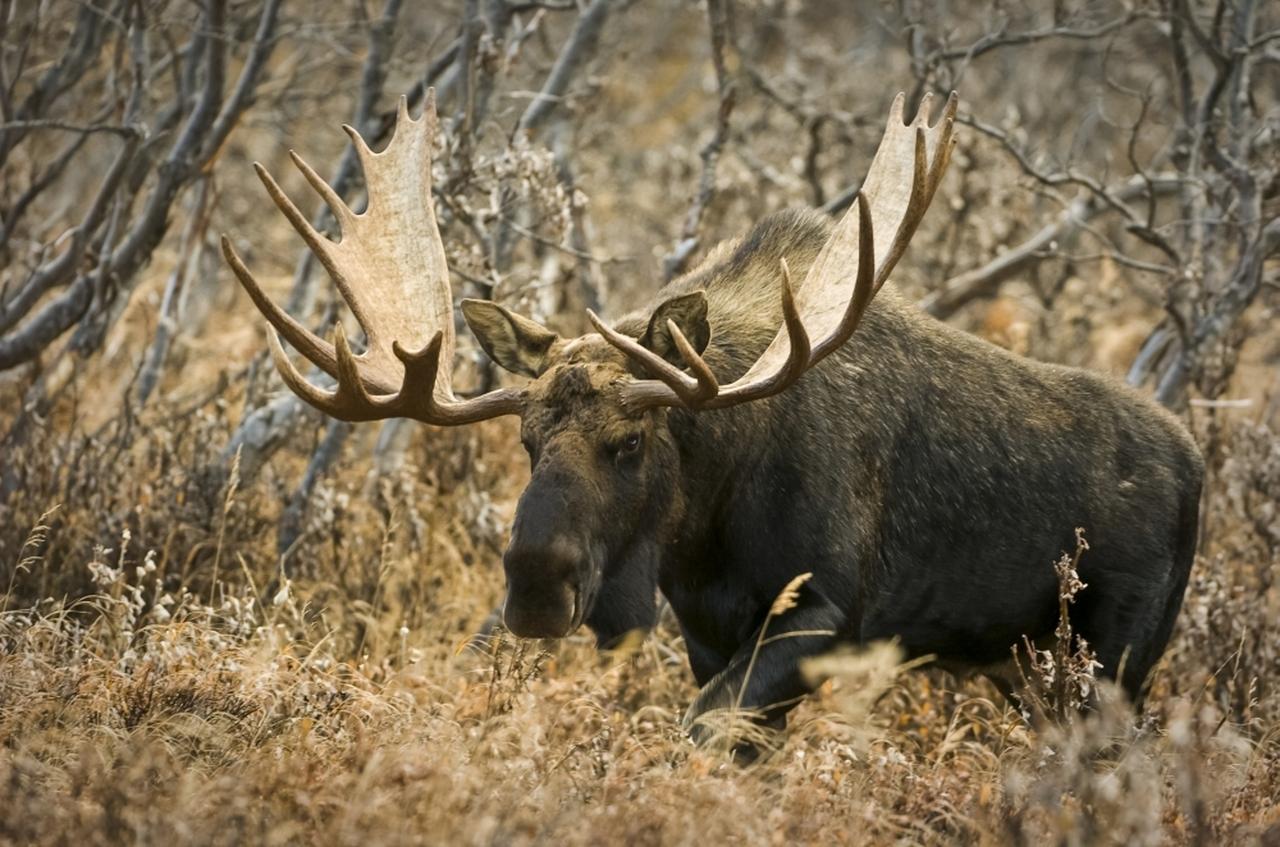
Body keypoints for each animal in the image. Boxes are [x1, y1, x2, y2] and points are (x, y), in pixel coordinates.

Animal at [222, 90, 1204, 747]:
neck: (703, 526)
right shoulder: (706, 629)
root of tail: (1198, 462)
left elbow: (699, 730)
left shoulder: (824, 613)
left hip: (1112, 661)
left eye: (631, 441)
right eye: (526, 441)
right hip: (1033, 668)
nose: (534, 584)